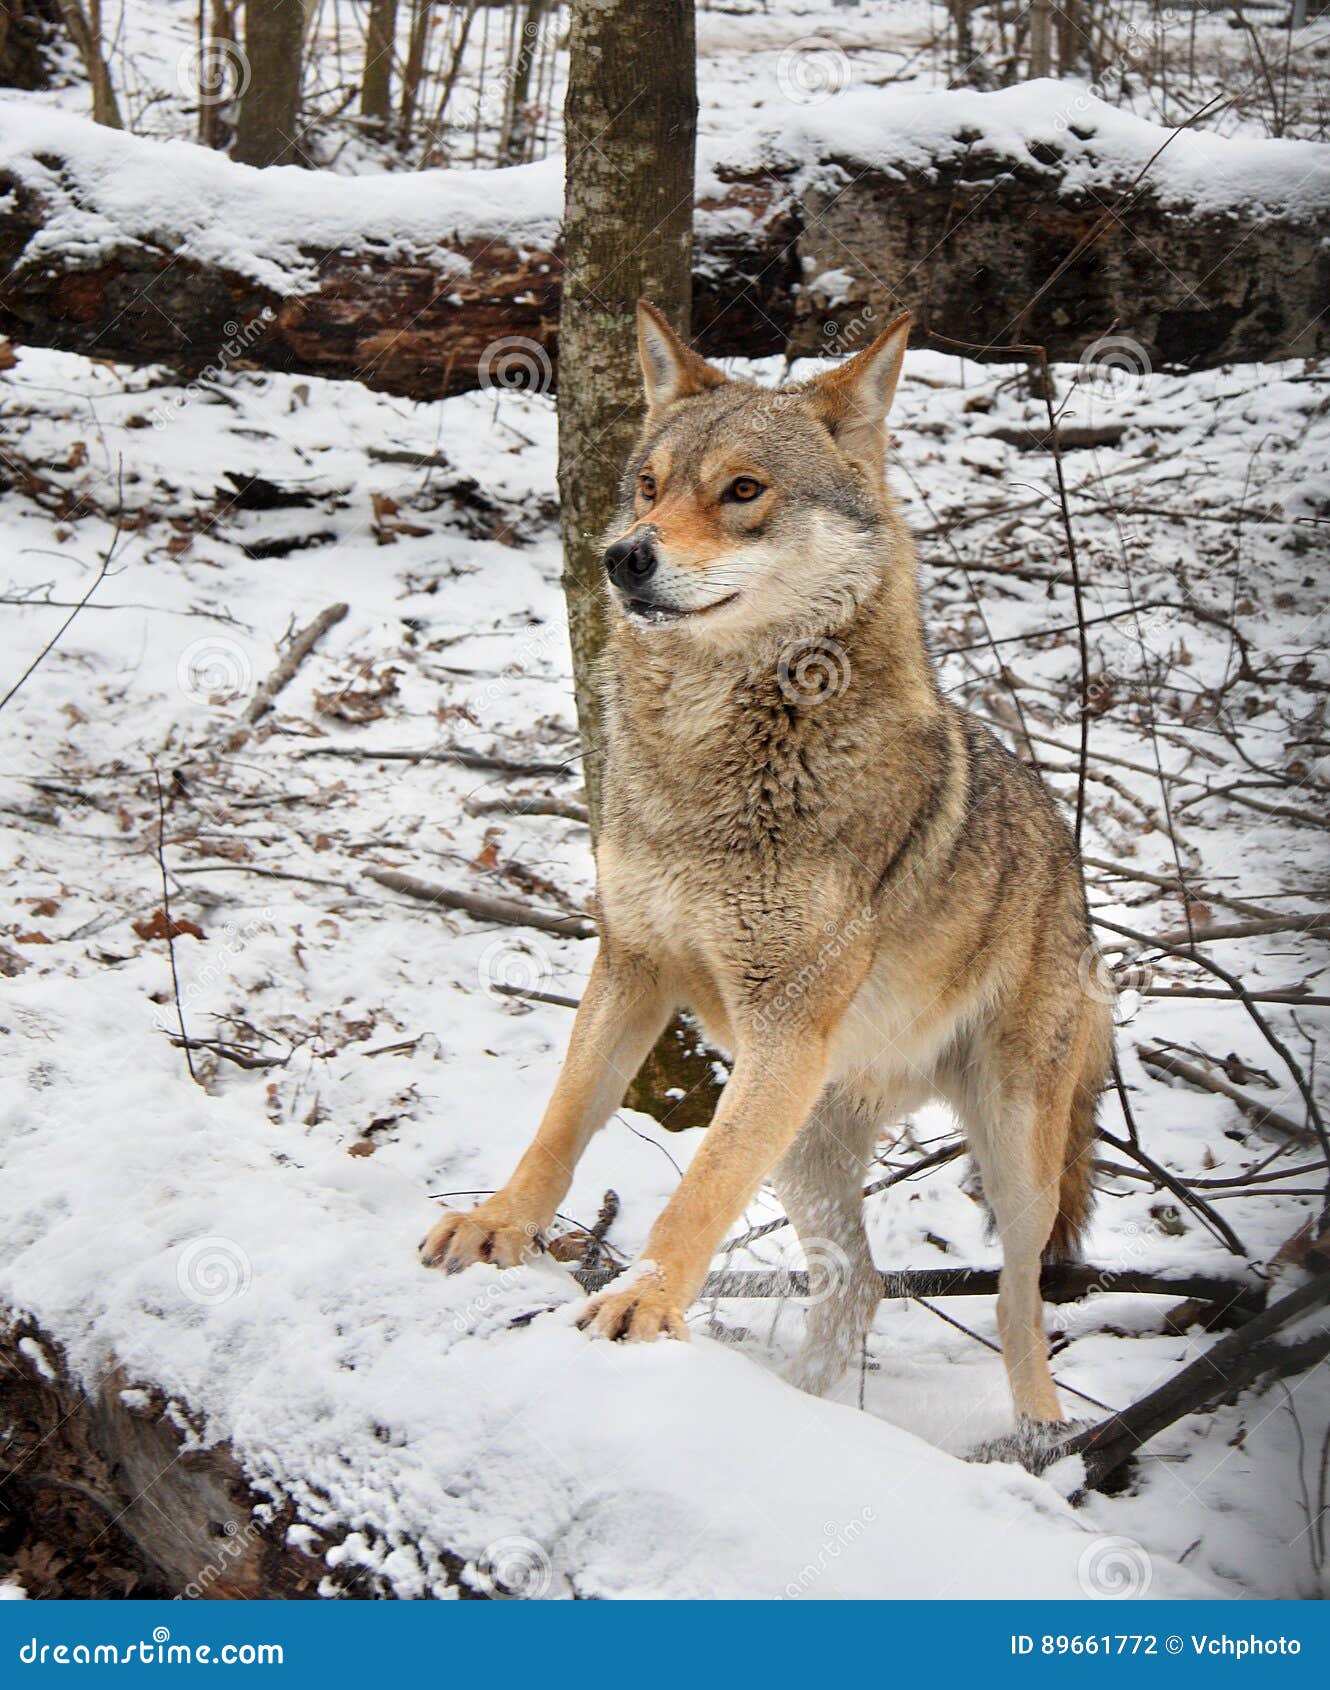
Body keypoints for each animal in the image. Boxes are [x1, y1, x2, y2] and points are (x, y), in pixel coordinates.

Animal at [422, 301, 1113, 1431]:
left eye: (742, 491)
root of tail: (1075, 871)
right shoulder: (631, 966)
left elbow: (697, 1193)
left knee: (1019, 1306)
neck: (706, 758)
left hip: (1009, 1154)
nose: (623, 557)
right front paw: (499, 1223)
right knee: (859, 1283)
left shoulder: (782, 1022)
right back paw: (814, 1404)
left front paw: (644, 1301)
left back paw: (1040, 1444)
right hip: (801, 1133)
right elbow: (560, 1122)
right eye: (649, 485)